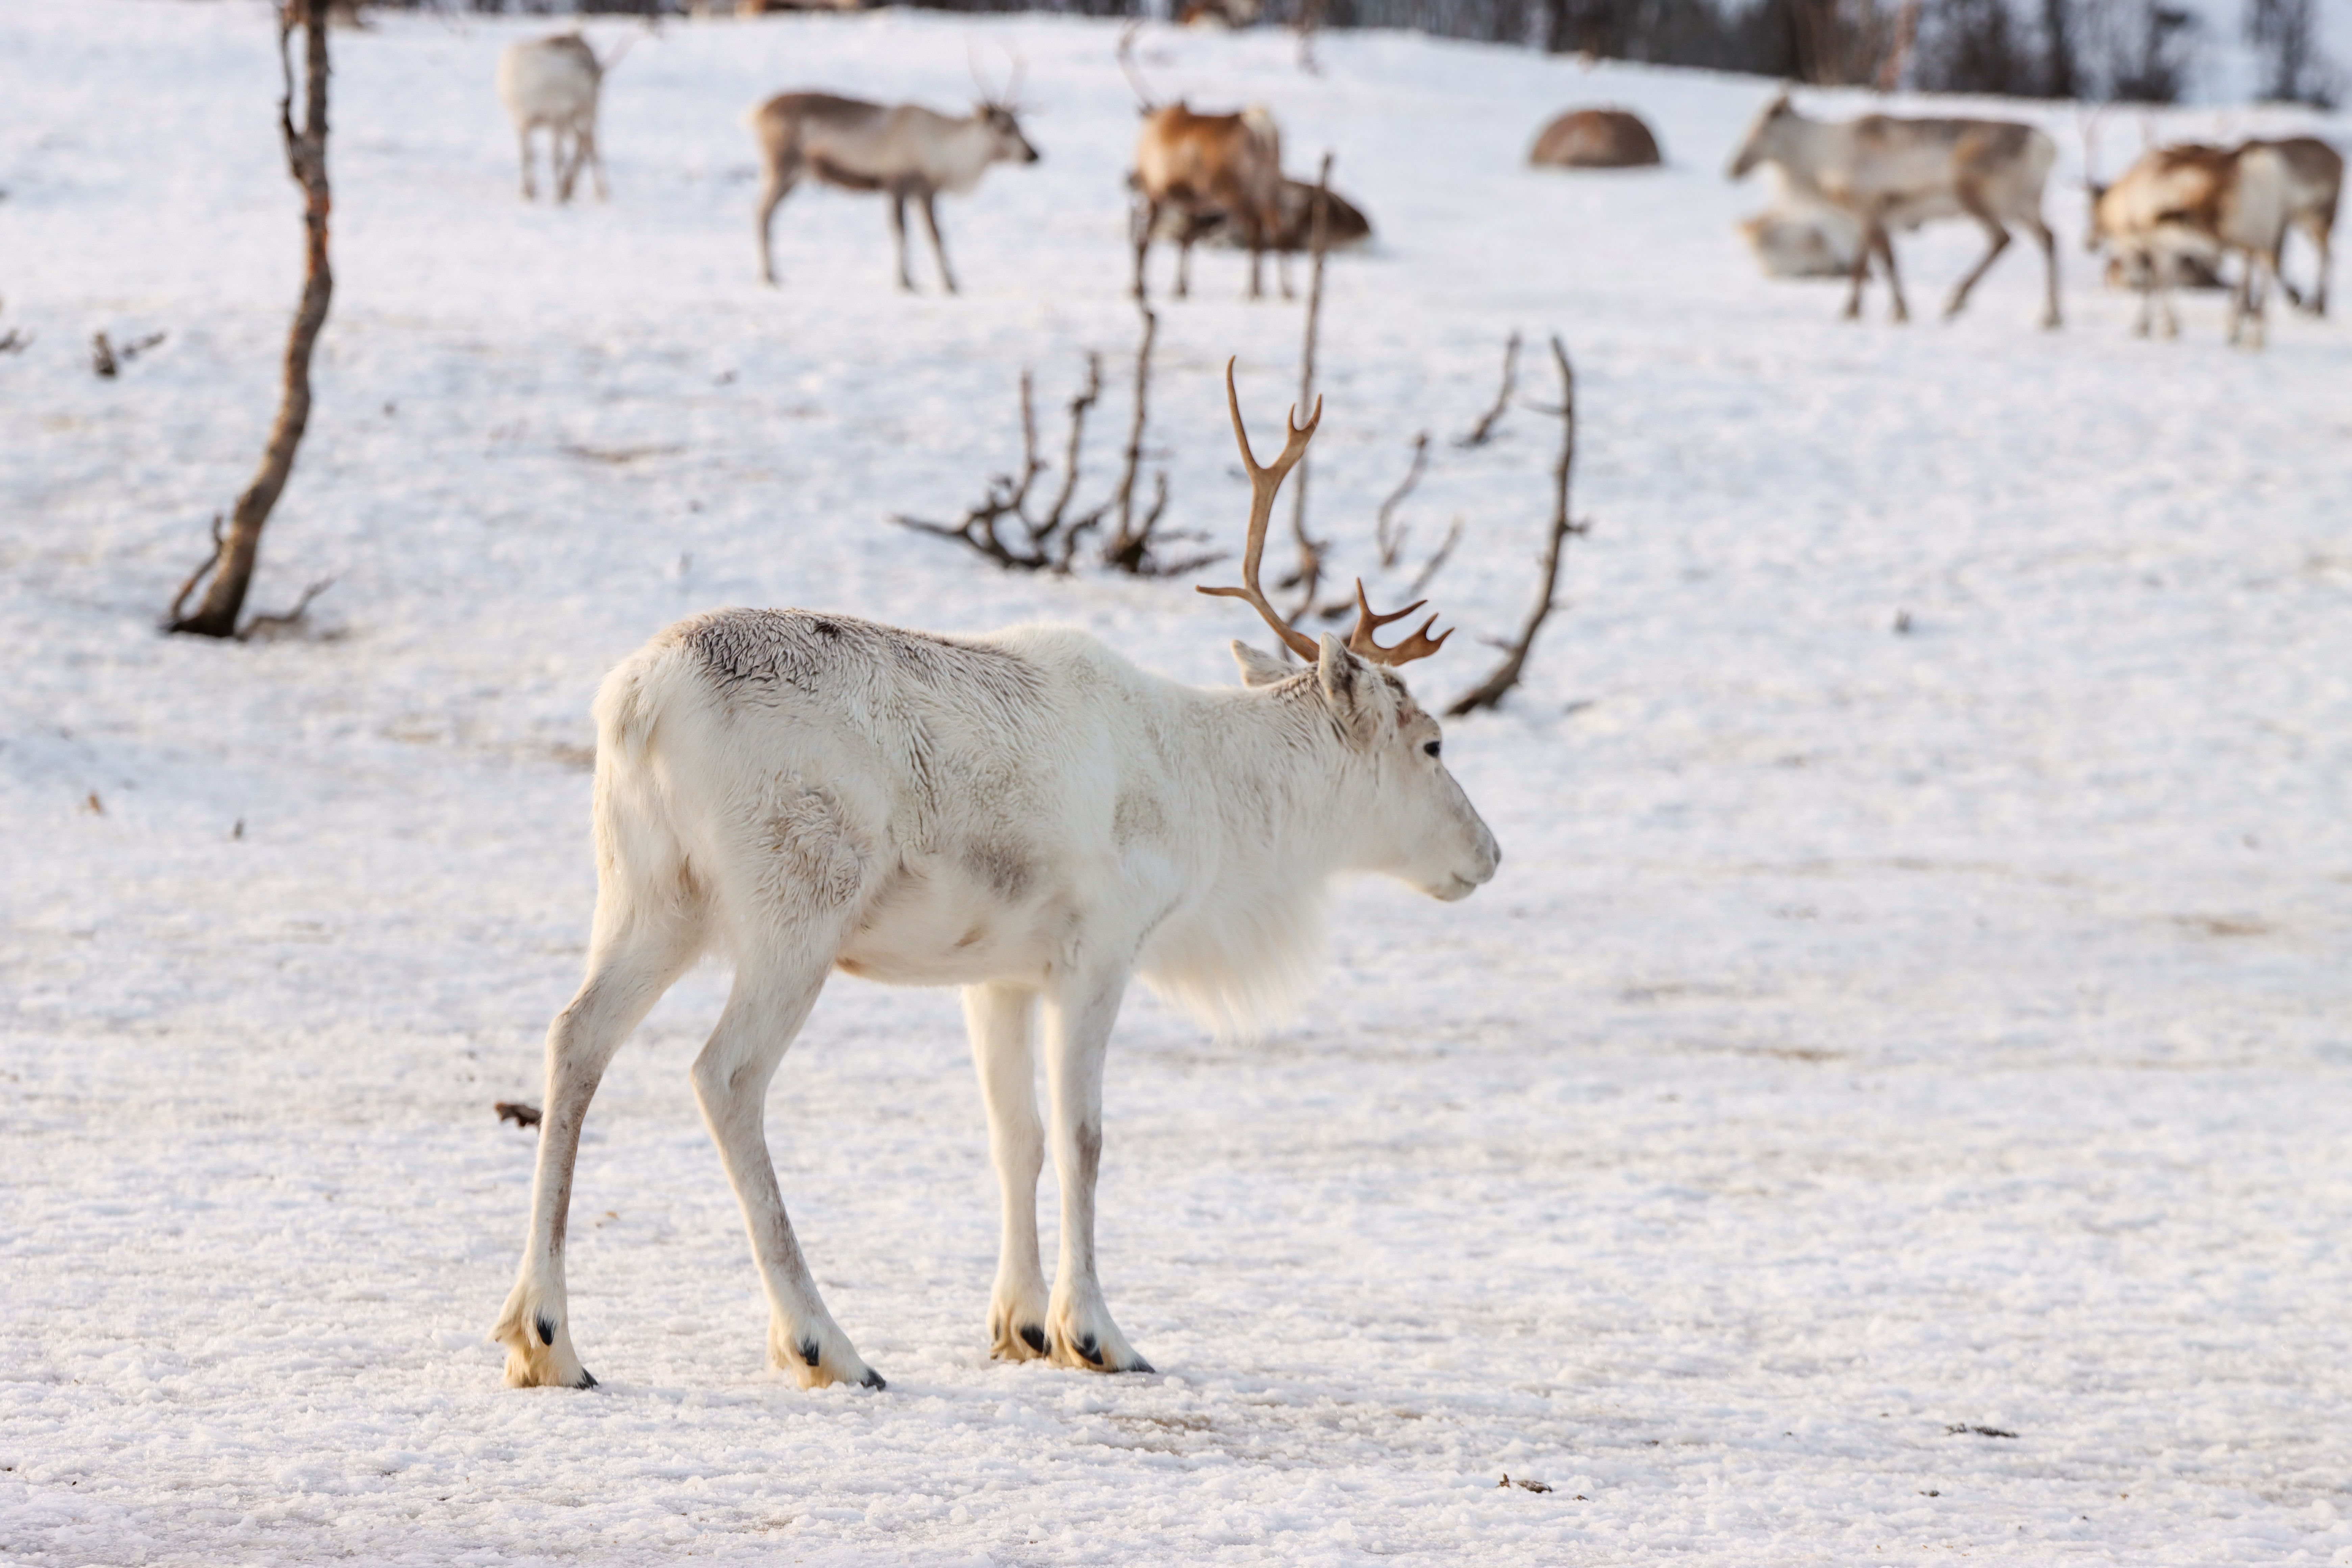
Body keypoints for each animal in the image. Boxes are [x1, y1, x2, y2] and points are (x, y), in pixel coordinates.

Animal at [490, 363, 1502, 1393]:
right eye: (1432, 743)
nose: (1489, 854)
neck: (1211, 794)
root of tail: (638, 701)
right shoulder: (1099, 950)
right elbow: (1085, 1136)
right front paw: (1095, 1332)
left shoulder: (998, 972)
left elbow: (1017, 1135)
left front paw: (1020, 1325)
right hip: (793, 910)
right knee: (726, 1074)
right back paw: (824, 1341)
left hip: (651, 897)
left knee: (575, 1038)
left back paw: (547, 1338)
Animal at [496, 30, 632, 204]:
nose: (596, 72)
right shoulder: (525, 120)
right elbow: (529, 155)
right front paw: (529, 192)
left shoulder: (556, 117)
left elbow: (556, 157)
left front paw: (555, 196)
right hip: (577, 115)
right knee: (584, 141)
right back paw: (574, 189)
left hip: (585, 111)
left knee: (588, 143)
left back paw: (590, 191)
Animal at [750, 81, 1040, 293]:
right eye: (1004, 128)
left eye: (1020, 125)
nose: (1034, 154)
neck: (946, 158)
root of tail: (757, 112)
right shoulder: (899, 184)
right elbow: (905, 231)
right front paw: (911, 282)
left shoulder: (924, 191)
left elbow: (934, 235)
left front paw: (948, 282)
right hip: (782, 167)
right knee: (762, 213)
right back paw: (769, 275)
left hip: (791, 175)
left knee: (765, 213)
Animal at [1727, 91, 2060, 329]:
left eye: (1761, 129)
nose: (1733, 168)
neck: (1818, 158)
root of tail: (2045, 145)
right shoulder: (1870, 214)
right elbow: (1864, 262)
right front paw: (1852, 311)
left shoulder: (1868, 205)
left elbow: (1884, 260)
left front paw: (1900, 312)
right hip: (2027, 203)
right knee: (2049, 238)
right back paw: (2052, 316)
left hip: (1976, 195)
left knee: (2002, 239)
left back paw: (1956, 301)